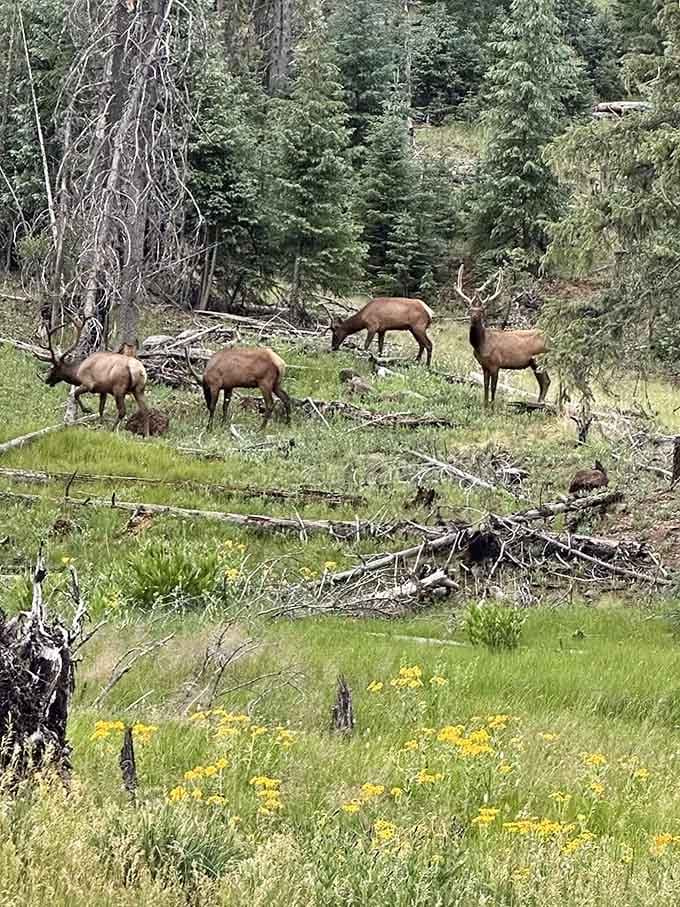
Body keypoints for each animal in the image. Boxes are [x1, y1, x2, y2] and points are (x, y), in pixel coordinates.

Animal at [454, 265, 550, 408]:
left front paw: (492, 407)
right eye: (470, 310)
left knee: (546, 381)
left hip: (540, 358)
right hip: (534, 362)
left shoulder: (496, 363)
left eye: (482, 311)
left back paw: (540, 404)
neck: (481, 345)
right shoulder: (484, 365)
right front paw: (484, 405)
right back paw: (537, 404)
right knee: (543, 382)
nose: (474, 319)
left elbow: (494, 387)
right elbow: (485, 385)